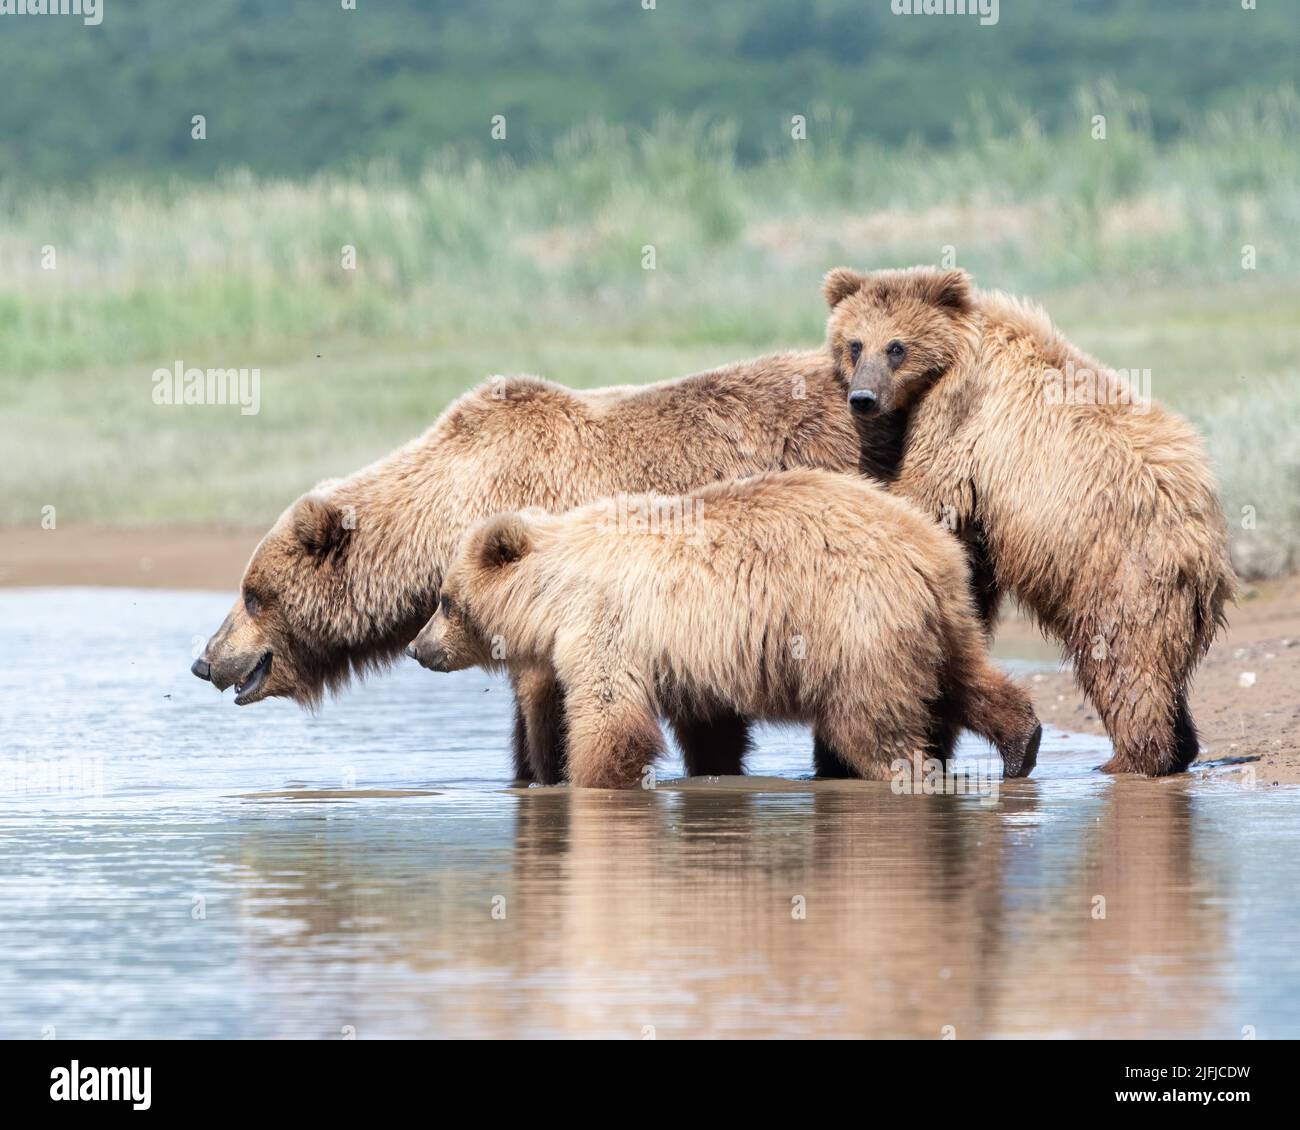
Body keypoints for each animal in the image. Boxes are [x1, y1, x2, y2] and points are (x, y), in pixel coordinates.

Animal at [407, 468, 1044, 786]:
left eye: (444, 600)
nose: (418, 647)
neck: (554, 592)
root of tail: (930, 551)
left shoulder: (607, 622)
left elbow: (612, 717)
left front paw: (586, 781)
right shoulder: (690, 656)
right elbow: (711, 728)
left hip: (854, 625)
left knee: (872, 722)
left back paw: (905, 770)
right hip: (940, 619)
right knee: (967, 679)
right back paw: (1022, 743)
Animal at [820, 264, 1236, 776]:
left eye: (896, 347)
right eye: (855, 344)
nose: (863, 397)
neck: (955, 353)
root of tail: (1202, 548)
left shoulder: (959, 415)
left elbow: (932, 493)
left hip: (1118, 572)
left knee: (1121, 662)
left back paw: (1130, 759)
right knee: (1162, 672)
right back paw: (1181, 748)